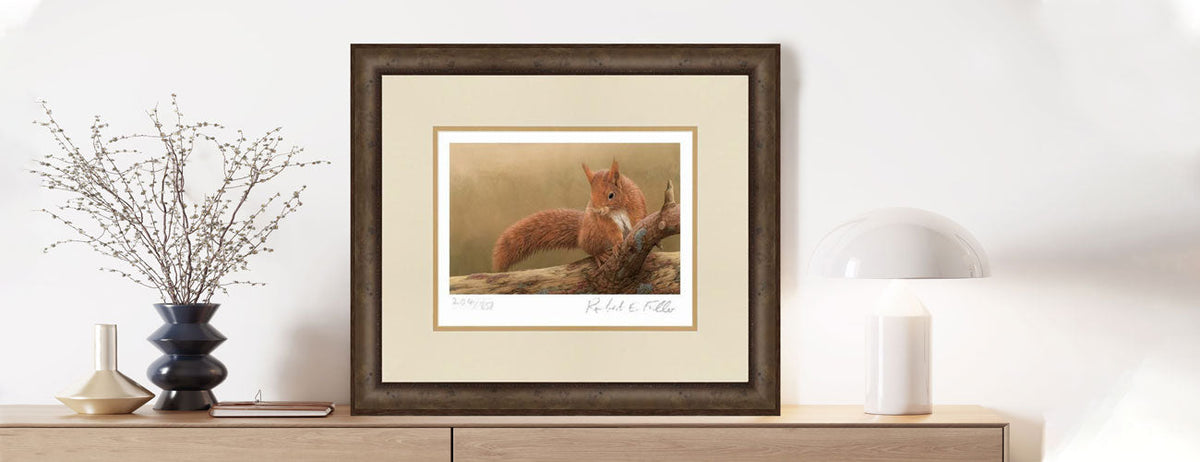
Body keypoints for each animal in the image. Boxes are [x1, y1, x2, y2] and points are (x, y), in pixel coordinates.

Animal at [491, 160, 647, 272]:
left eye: (611, 195)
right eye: (591, 197)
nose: (597, 211)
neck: (616, 209)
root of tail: (581, 233)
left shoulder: (635, 203)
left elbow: (638, 217)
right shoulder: (605, 221)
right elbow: (611, 230)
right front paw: (617, 244)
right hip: (593, 235)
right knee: (591, 249)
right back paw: (600, 254)